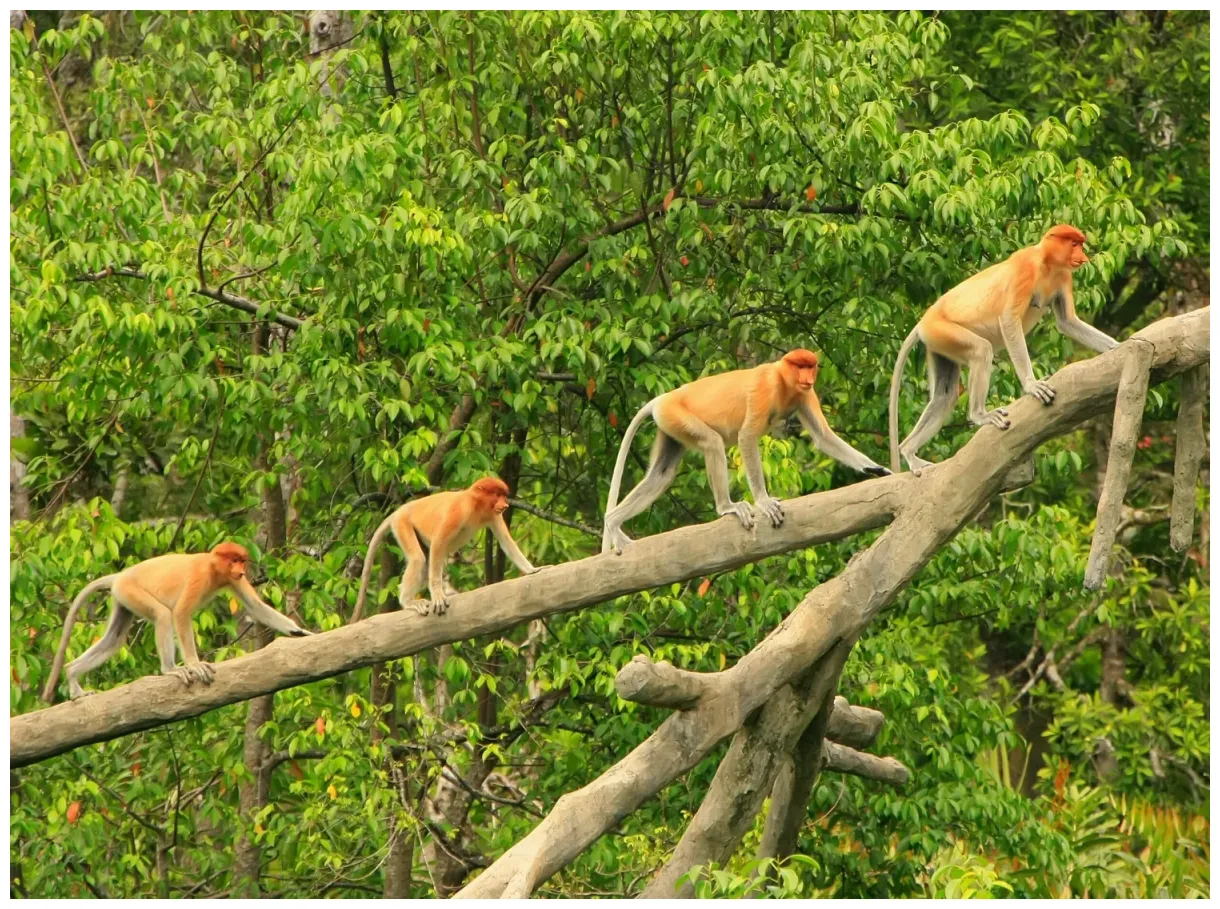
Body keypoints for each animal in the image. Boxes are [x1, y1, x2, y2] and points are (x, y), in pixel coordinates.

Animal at [42, 542, 312, 702]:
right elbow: (181, 613)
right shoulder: (200, 576)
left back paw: (72, 675)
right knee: (163, 615)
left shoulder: (232, 579)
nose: (241, 569)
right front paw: (195, 664)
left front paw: (302, 633)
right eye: (234, 560)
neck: (213, 567)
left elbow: (256, 607)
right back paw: (170, 669)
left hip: (123, 597)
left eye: (241, 561)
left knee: (114, 640)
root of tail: (120, 576)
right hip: (131, 591)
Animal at [350, 476, 541, 622]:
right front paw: (438, 595)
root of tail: (400, 510)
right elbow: (439, 542)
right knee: (419, 559)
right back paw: (408, 602)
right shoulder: (458, 512)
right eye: (497, 495)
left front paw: (533, 570)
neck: (475, 503)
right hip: (403, 523)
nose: (505, 505)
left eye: (503, 495)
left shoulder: (492, 515)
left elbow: (507, 542)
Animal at [602, 349, 890, 554]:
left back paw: (613, 522)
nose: (808, 378)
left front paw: (876, 468)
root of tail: (663, 398)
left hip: (669, 425)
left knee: (661, 474)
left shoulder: (804, 395)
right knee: (712, 443)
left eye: (811, 367)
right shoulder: (765, 388)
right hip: (676, 415)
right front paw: (764, 502)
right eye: (800, 367)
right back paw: (727, 507)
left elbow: (823, 437)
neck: (782, 379)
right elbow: (748, 436)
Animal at [888, 224, 1118, 475]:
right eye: (1074, 244)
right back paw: (980, 416)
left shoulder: (1064, 276)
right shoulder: (1025, 268)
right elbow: (1009, 320)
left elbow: (1068, 322)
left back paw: (909, 452)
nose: (1083, 258)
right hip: (941, 330)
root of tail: (923, 322)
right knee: (981, 350)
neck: (1046, 262)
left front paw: (1119, 346)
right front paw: (1032, 386)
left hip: (938, 344)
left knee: (945, 396)